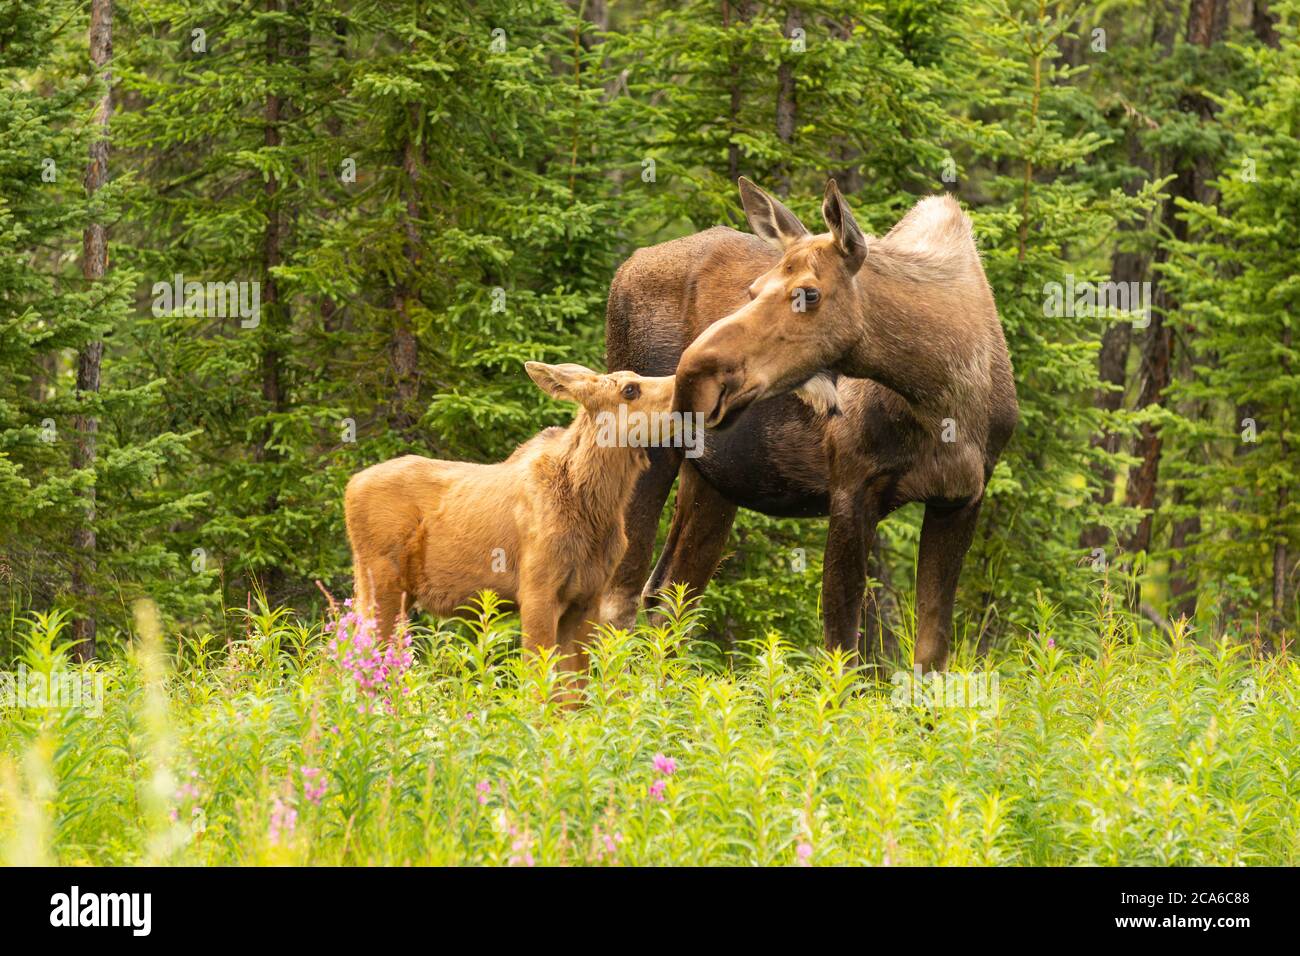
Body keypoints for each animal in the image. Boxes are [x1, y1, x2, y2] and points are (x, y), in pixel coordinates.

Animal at [345, 361, 679, 676]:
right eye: (630, 390)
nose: (680, 381)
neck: (595, 509)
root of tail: (350, 486)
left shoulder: (587, 596)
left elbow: (576, 687)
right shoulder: (536, 591)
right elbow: (538, 679)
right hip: (380, 581)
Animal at [602, 177, 1018, 672]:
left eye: (809, 292)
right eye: (753, 290)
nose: (692, 376)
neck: (942, 398)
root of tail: (625, 266)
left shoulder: (961, 497)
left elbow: (931, 654)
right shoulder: (852, 487)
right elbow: (843, 651)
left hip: (714, 479)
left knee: (668, 595)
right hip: (647, 446)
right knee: (617, 595)